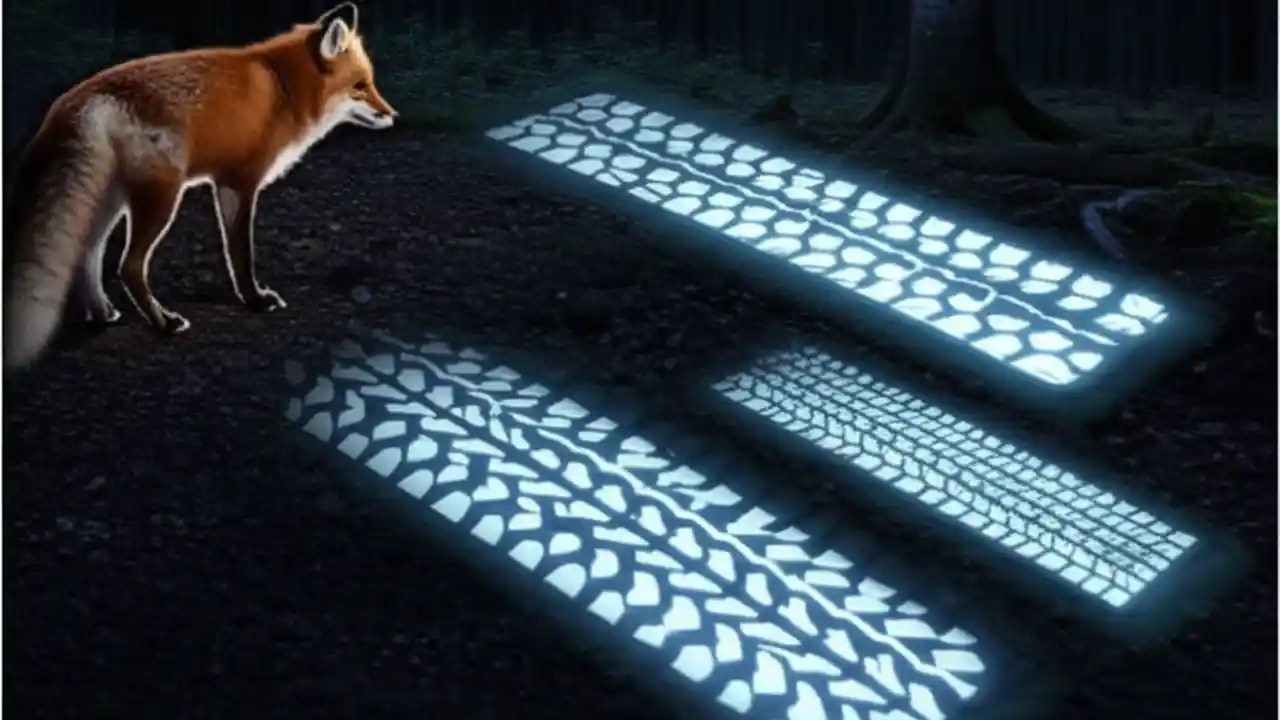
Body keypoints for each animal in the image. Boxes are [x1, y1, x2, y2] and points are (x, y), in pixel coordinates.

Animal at [2, 2, 396, 372]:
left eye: (369, 83)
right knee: (128, 265)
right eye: (360, 87)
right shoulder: (239, 181)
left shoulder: (223, 182)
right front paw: (254, 300)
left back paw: (101, 313)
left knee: (88, 252)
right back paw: (162, 322)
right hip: (162, 198)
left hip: (112, 200)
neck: (283, 87)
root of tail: (73, 100)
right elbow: (241, 254)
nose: (393, 116)